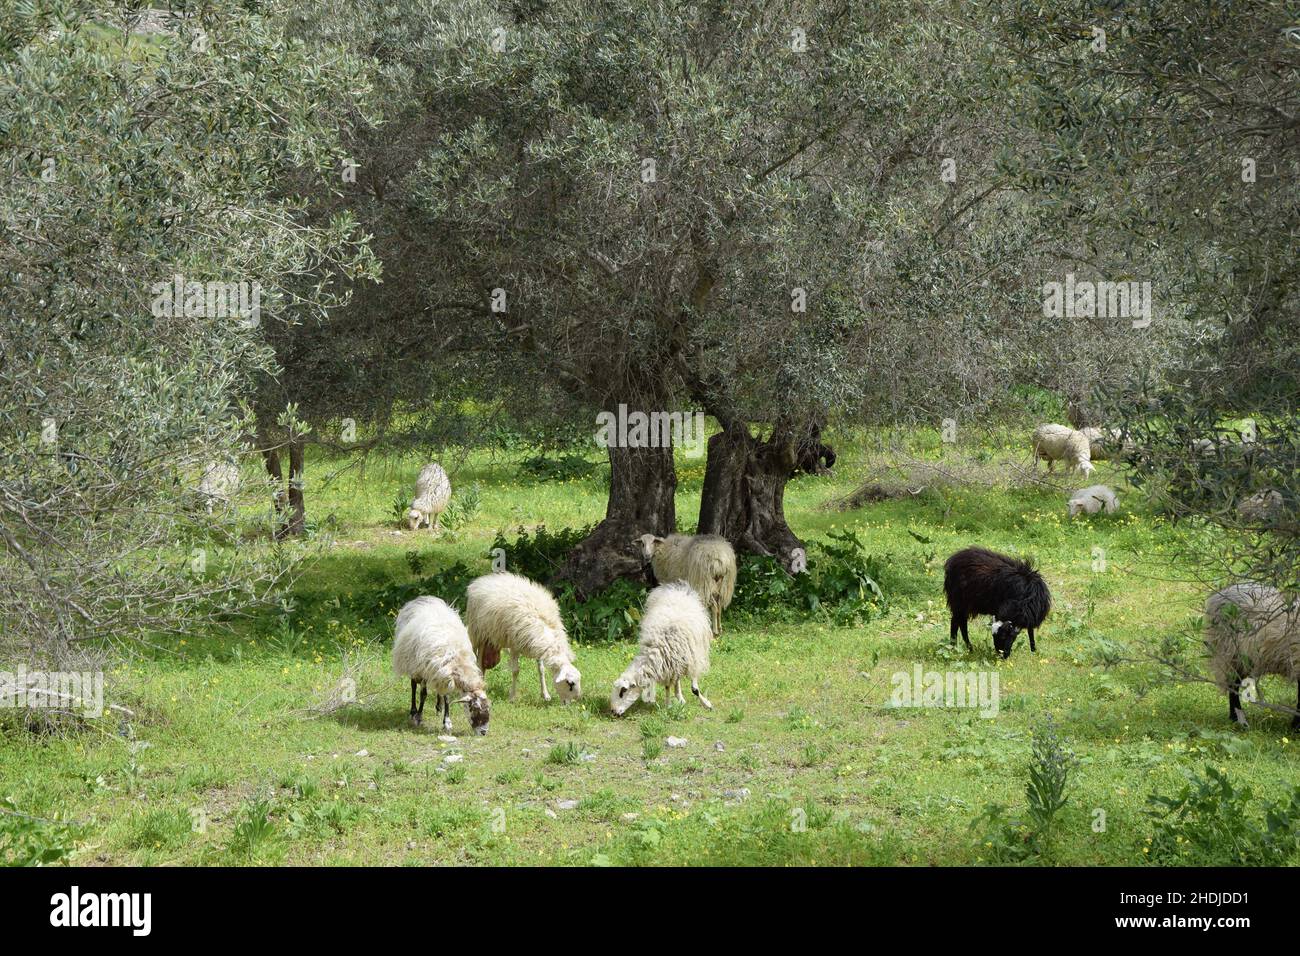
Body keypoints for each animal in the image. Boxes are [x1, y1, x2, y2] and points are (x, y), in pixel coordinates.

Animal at [391, 596, 491, 735]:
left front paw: (447, 722)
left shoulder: (443, 673)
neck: (457, 661)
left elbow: (446, 696)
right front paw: (418, 717)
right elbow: (423, 694)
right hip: (412, 663)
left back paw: (439, 706)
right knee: (413, 686)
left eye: (488, 707)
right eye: (474, 707)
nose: (484, 732)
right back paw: (413, 711)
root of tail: (424, 597)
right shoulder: (425, 671)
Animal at [464, 572, 581, 703]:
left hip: (488, 637)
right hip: (475, 631)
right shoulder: (514, 645)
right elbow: (515, 671)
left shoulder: (537, 644)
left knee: (481, 664)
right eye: (570, 684)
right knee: (475, 660)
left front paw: (545, 694)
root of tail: (484, 579)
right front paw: (512, 697)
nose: (572, 702)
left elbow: (541, 670)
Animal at [610, 582, 713, 715]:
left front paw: (706, 704)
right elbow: (668, 686)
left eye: (623, 691)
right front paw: (669, 705)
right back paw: (680, 698)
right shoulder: (667, 665)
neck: (658, 648)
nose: (613, 711)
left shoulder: (692, 660)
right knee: (677, 680)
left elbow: (694, 689)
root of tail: (675, 588)